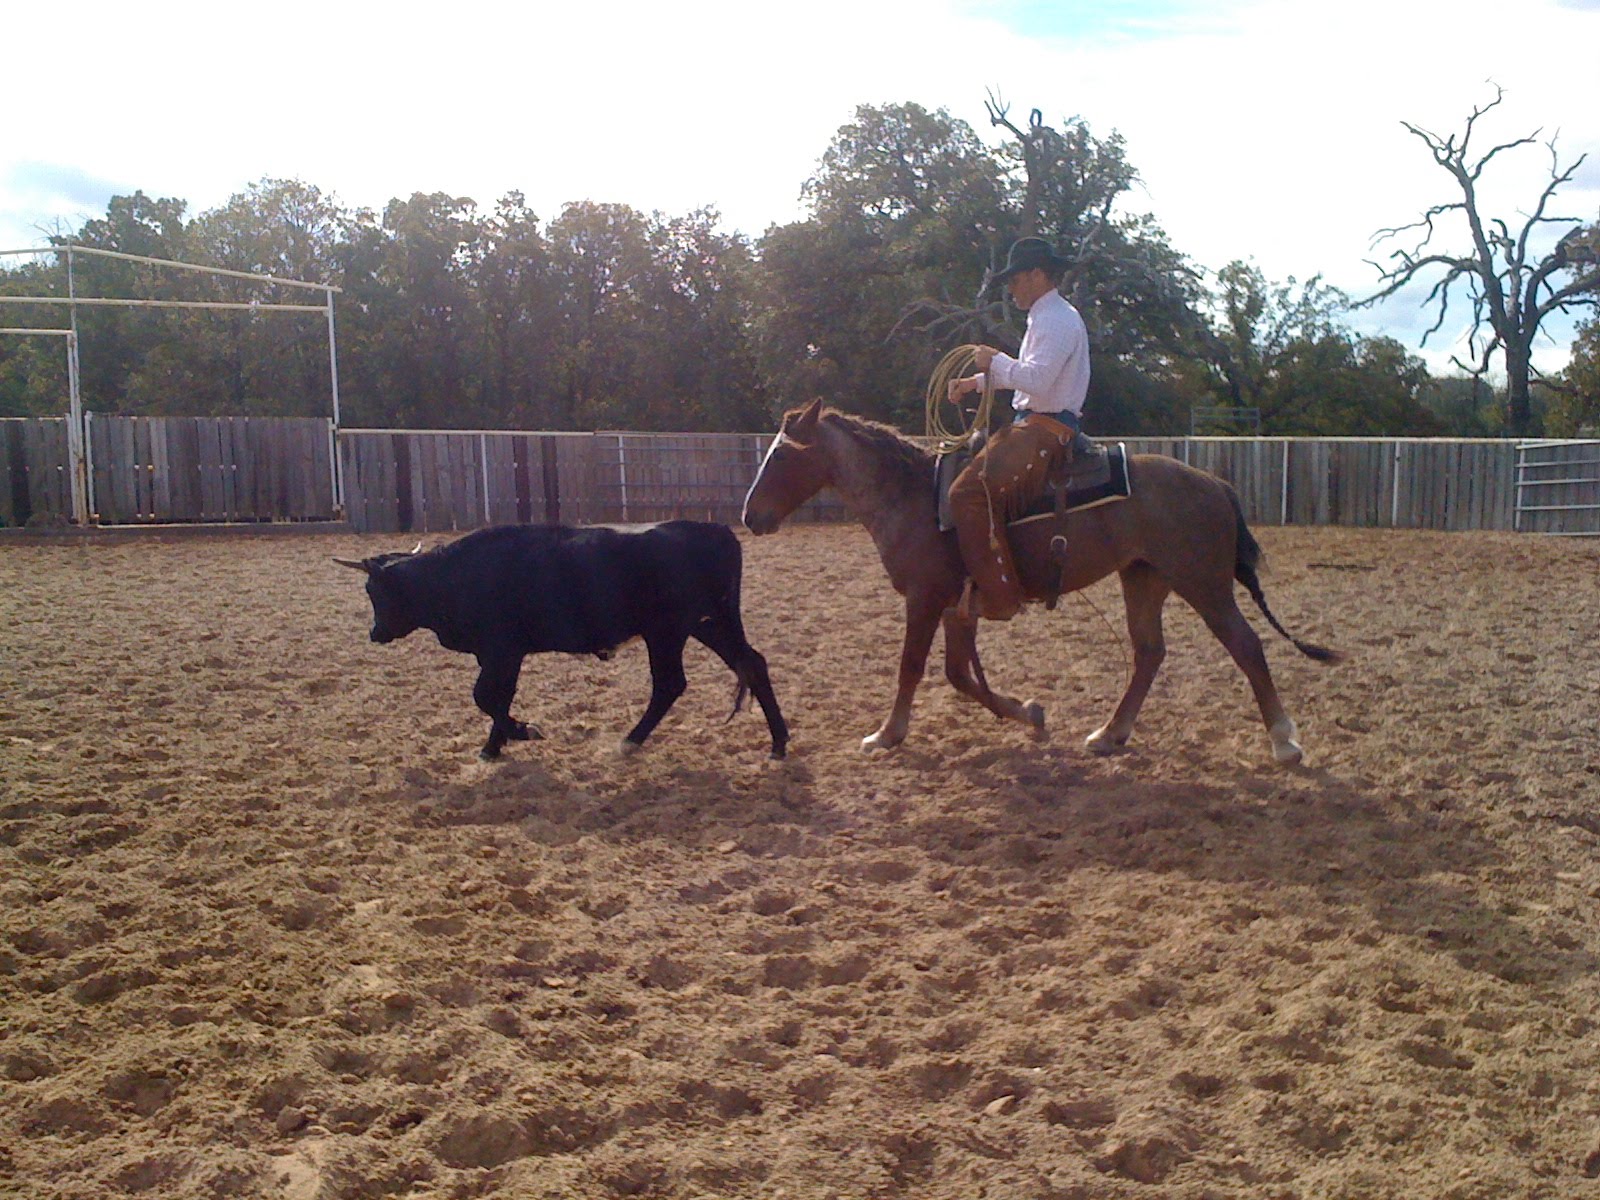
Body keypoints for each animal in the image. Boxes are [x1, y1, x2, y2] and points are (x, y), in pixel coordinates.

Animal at [741, 398, 1336, 765]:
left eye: (780, 455)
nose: (749, 516)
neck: (913, 496)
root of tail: (1215, 483)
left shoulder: (925, 599)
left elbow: (912, 667)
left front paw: (887, 734)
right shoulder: (956, 607)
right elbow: (959, 675)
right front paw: (1028, 712)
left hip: (1203, 583)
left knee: (1246, 645)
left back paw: (1284, 743)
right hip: (1144, 578)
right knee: (1149, 652)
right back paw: (1109, 734)